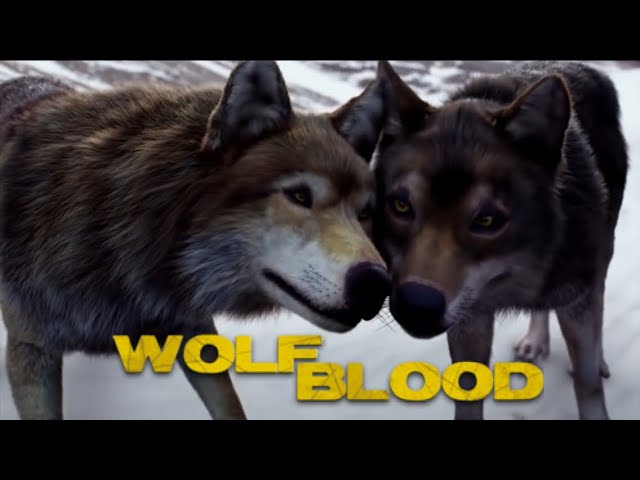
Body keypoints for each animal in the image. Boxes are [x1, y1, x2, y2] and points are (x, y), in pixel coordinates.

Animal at [0, 60, 392, 420]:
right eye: (299, 195)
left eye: (364, 213)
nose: (376, 284)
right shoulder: (30, 349)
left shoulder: (193, 327)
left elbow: (229, 405)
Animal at [371, 60, 628, 420]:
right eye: (400, 206)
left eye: (487, 221)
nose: (416, 306)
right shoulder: (470, 317)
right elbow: (468, 396)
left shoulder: (577, 295)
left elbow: (588, 384)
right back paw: (534, 342)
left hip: (600, 259)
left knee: (597, 303)